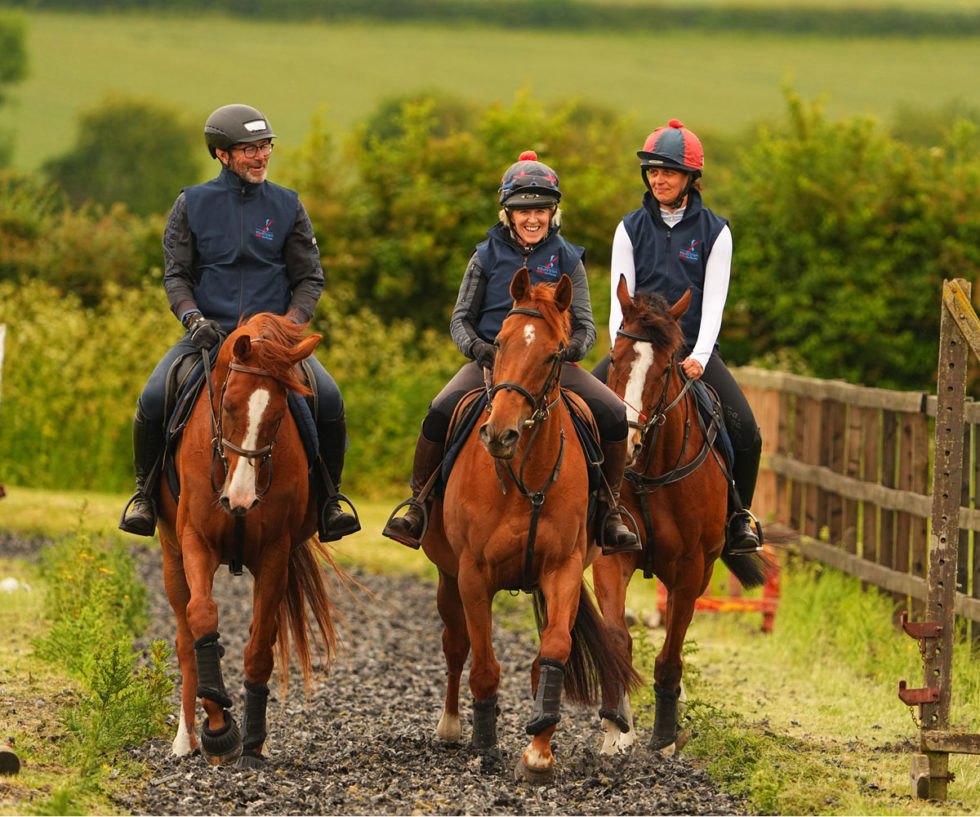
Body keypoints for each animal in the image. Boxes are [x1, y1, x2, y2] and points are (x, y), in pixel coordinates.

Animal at [155, 312, 343, 769]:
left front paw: (254, 744)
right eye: (228, 405)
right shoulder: (196, 542)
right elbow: (202, 617)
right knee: (185, 640)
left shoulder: (275, 554)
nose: (239, 500)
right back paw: (186, 739)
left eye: (278, 416)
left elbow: (260, 648)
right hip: (171, 556)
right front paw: (219, 730)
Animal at [420, 267, 640, 784]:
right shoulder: (472, 576)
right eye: (497, 342)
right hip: (446, 577)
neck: (528, 478)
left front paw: (539, 749)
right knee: (455, 645)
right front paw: (485, 745)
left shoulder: (562, 570)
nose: (500, 434)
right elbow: (483, 664)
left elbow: (554, 652)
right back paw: (450, 727)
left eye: (555, 353)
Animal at [593, 275, 774, 755]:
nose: (628, 445)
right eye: (615, 359)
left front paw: (665, 736)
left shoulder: (691, 570)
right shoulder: (612, 557)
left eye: (664, 369)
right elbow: (618, 639)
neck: (650, 471)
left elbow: (670, 656)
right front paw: (617, 729)